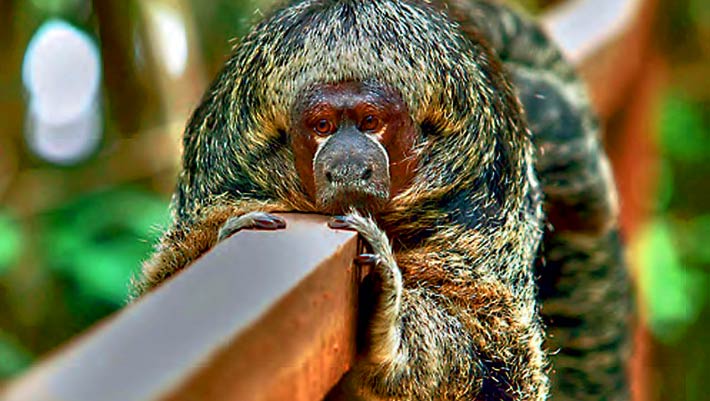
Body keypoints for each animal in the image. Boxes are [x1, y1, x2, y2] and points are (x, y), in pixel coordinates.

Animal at [132, 1, 631, 400]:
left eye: (371, 122)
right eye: (322, 126)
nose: (349, 162)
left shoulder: (484, 183)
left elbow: (498, 354)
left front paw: (385, 330)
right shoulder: (223, 162)